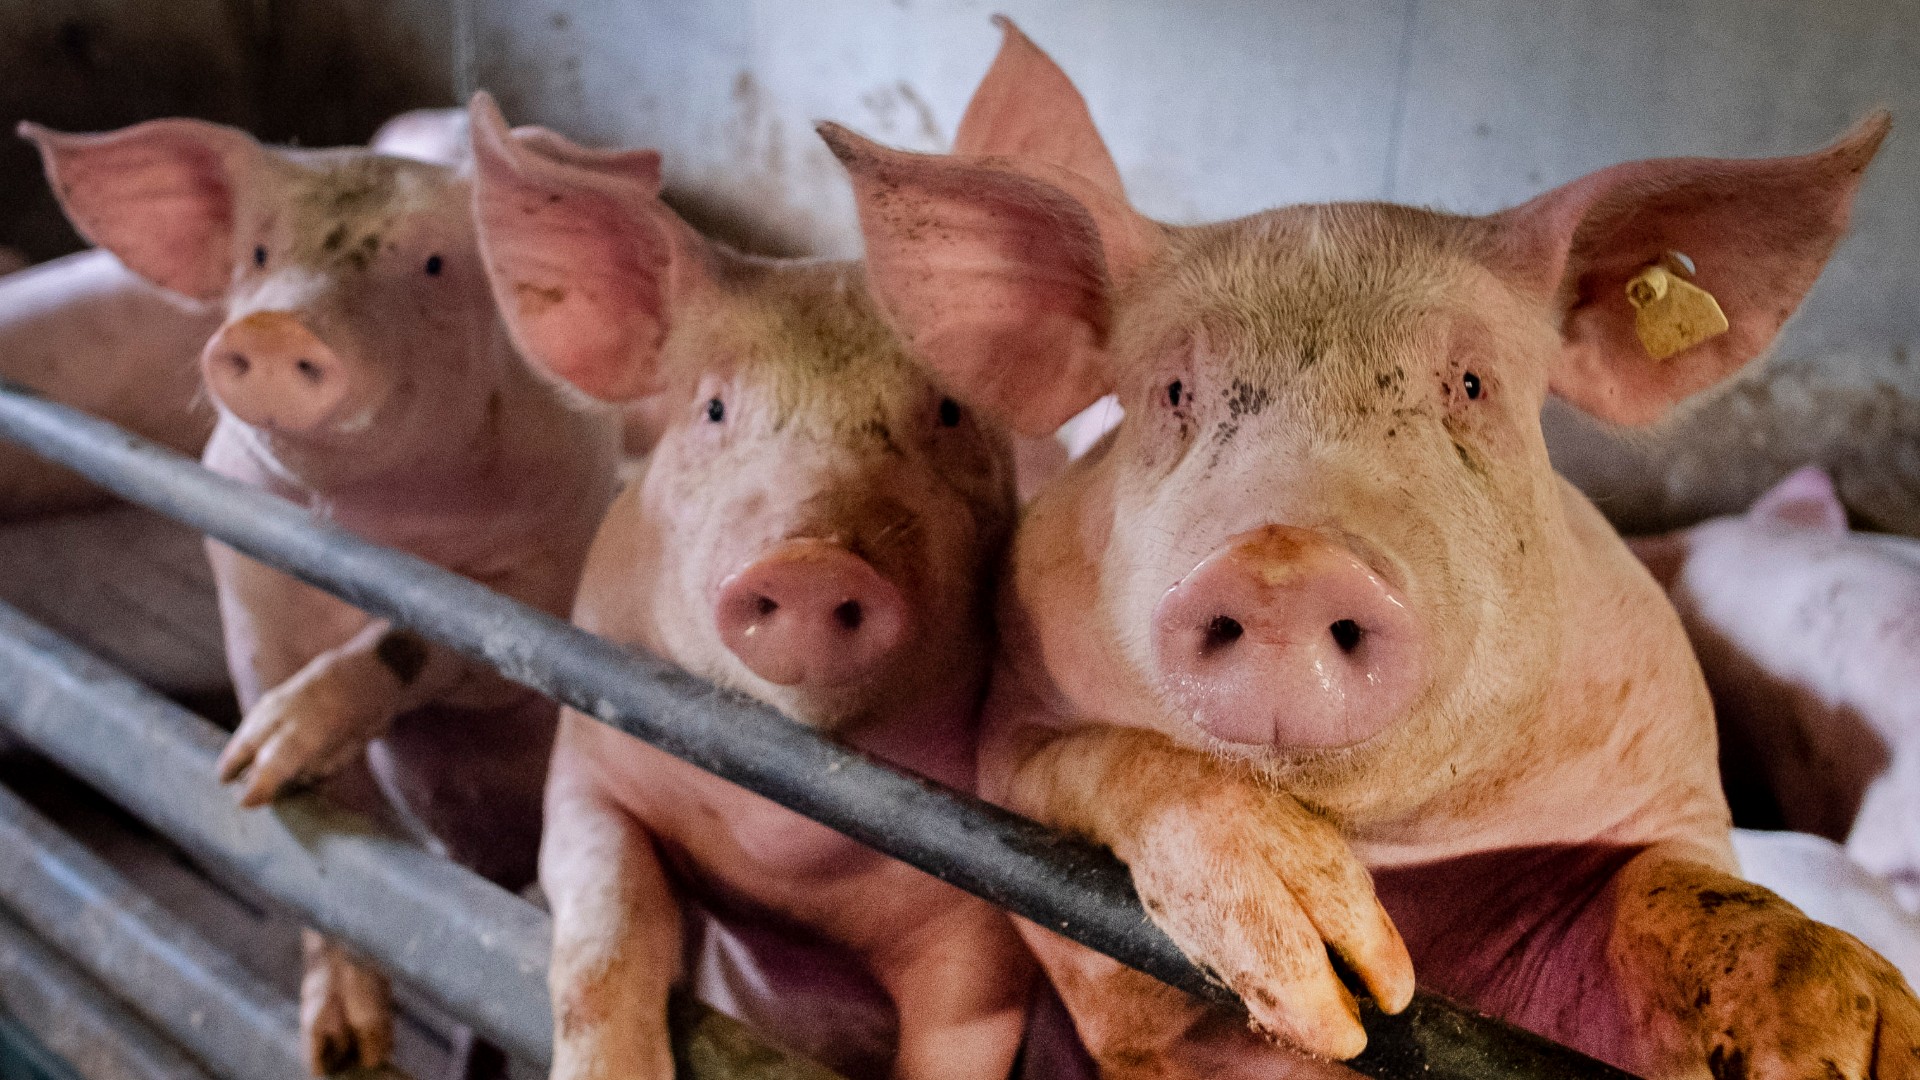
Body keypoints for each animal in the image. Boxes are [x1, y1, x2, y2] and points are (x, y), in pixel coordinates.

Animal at [22, 117, 624, 1075]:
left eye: (434, 265)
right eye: (261, 252)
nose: (274, 326)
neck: (364, 526)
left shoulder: (529, 612)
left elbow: (414, 640)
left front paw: (273, 743)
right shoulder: (246, 587)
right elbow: (334, 833)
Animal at [467, 83, 1038, 1080]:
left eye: (948, 414)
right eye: (713, 408)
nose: (809, 562)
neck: (782, 858)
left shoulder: (985, 930)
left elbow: (960, 1037)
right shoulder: (590, 761)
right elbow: (606, 927)